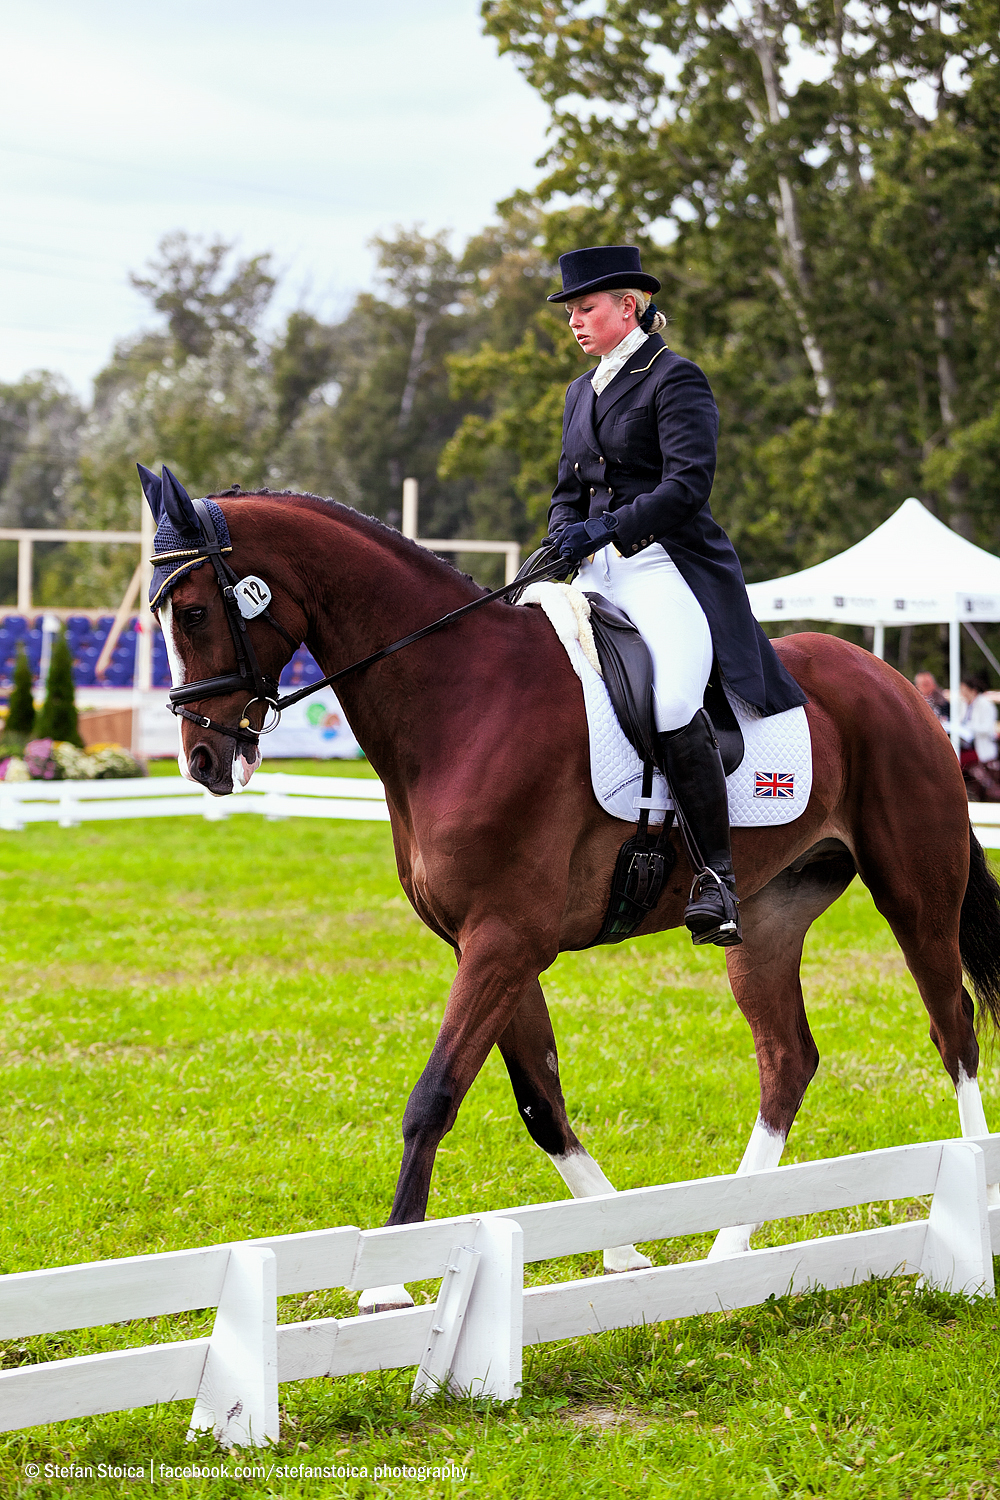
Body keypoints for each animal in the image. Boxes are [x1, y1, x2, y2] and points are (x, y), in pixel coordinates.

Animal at [152, 484, 1000, 1311]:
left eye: (192, 612)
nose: (203, 759)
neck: (462, 699)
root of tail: (892, 683)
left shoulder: (503, 941)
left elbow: (434, 1096)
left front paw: (387, 1279)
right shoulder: (490, 947)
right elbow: (539, 1102)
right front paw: (623, 1250)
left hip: (915, 895)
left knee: (954, 1031)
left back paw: (971, 1212)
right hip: (765, 921)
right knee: (788, 1059)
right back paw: (728, 1251)